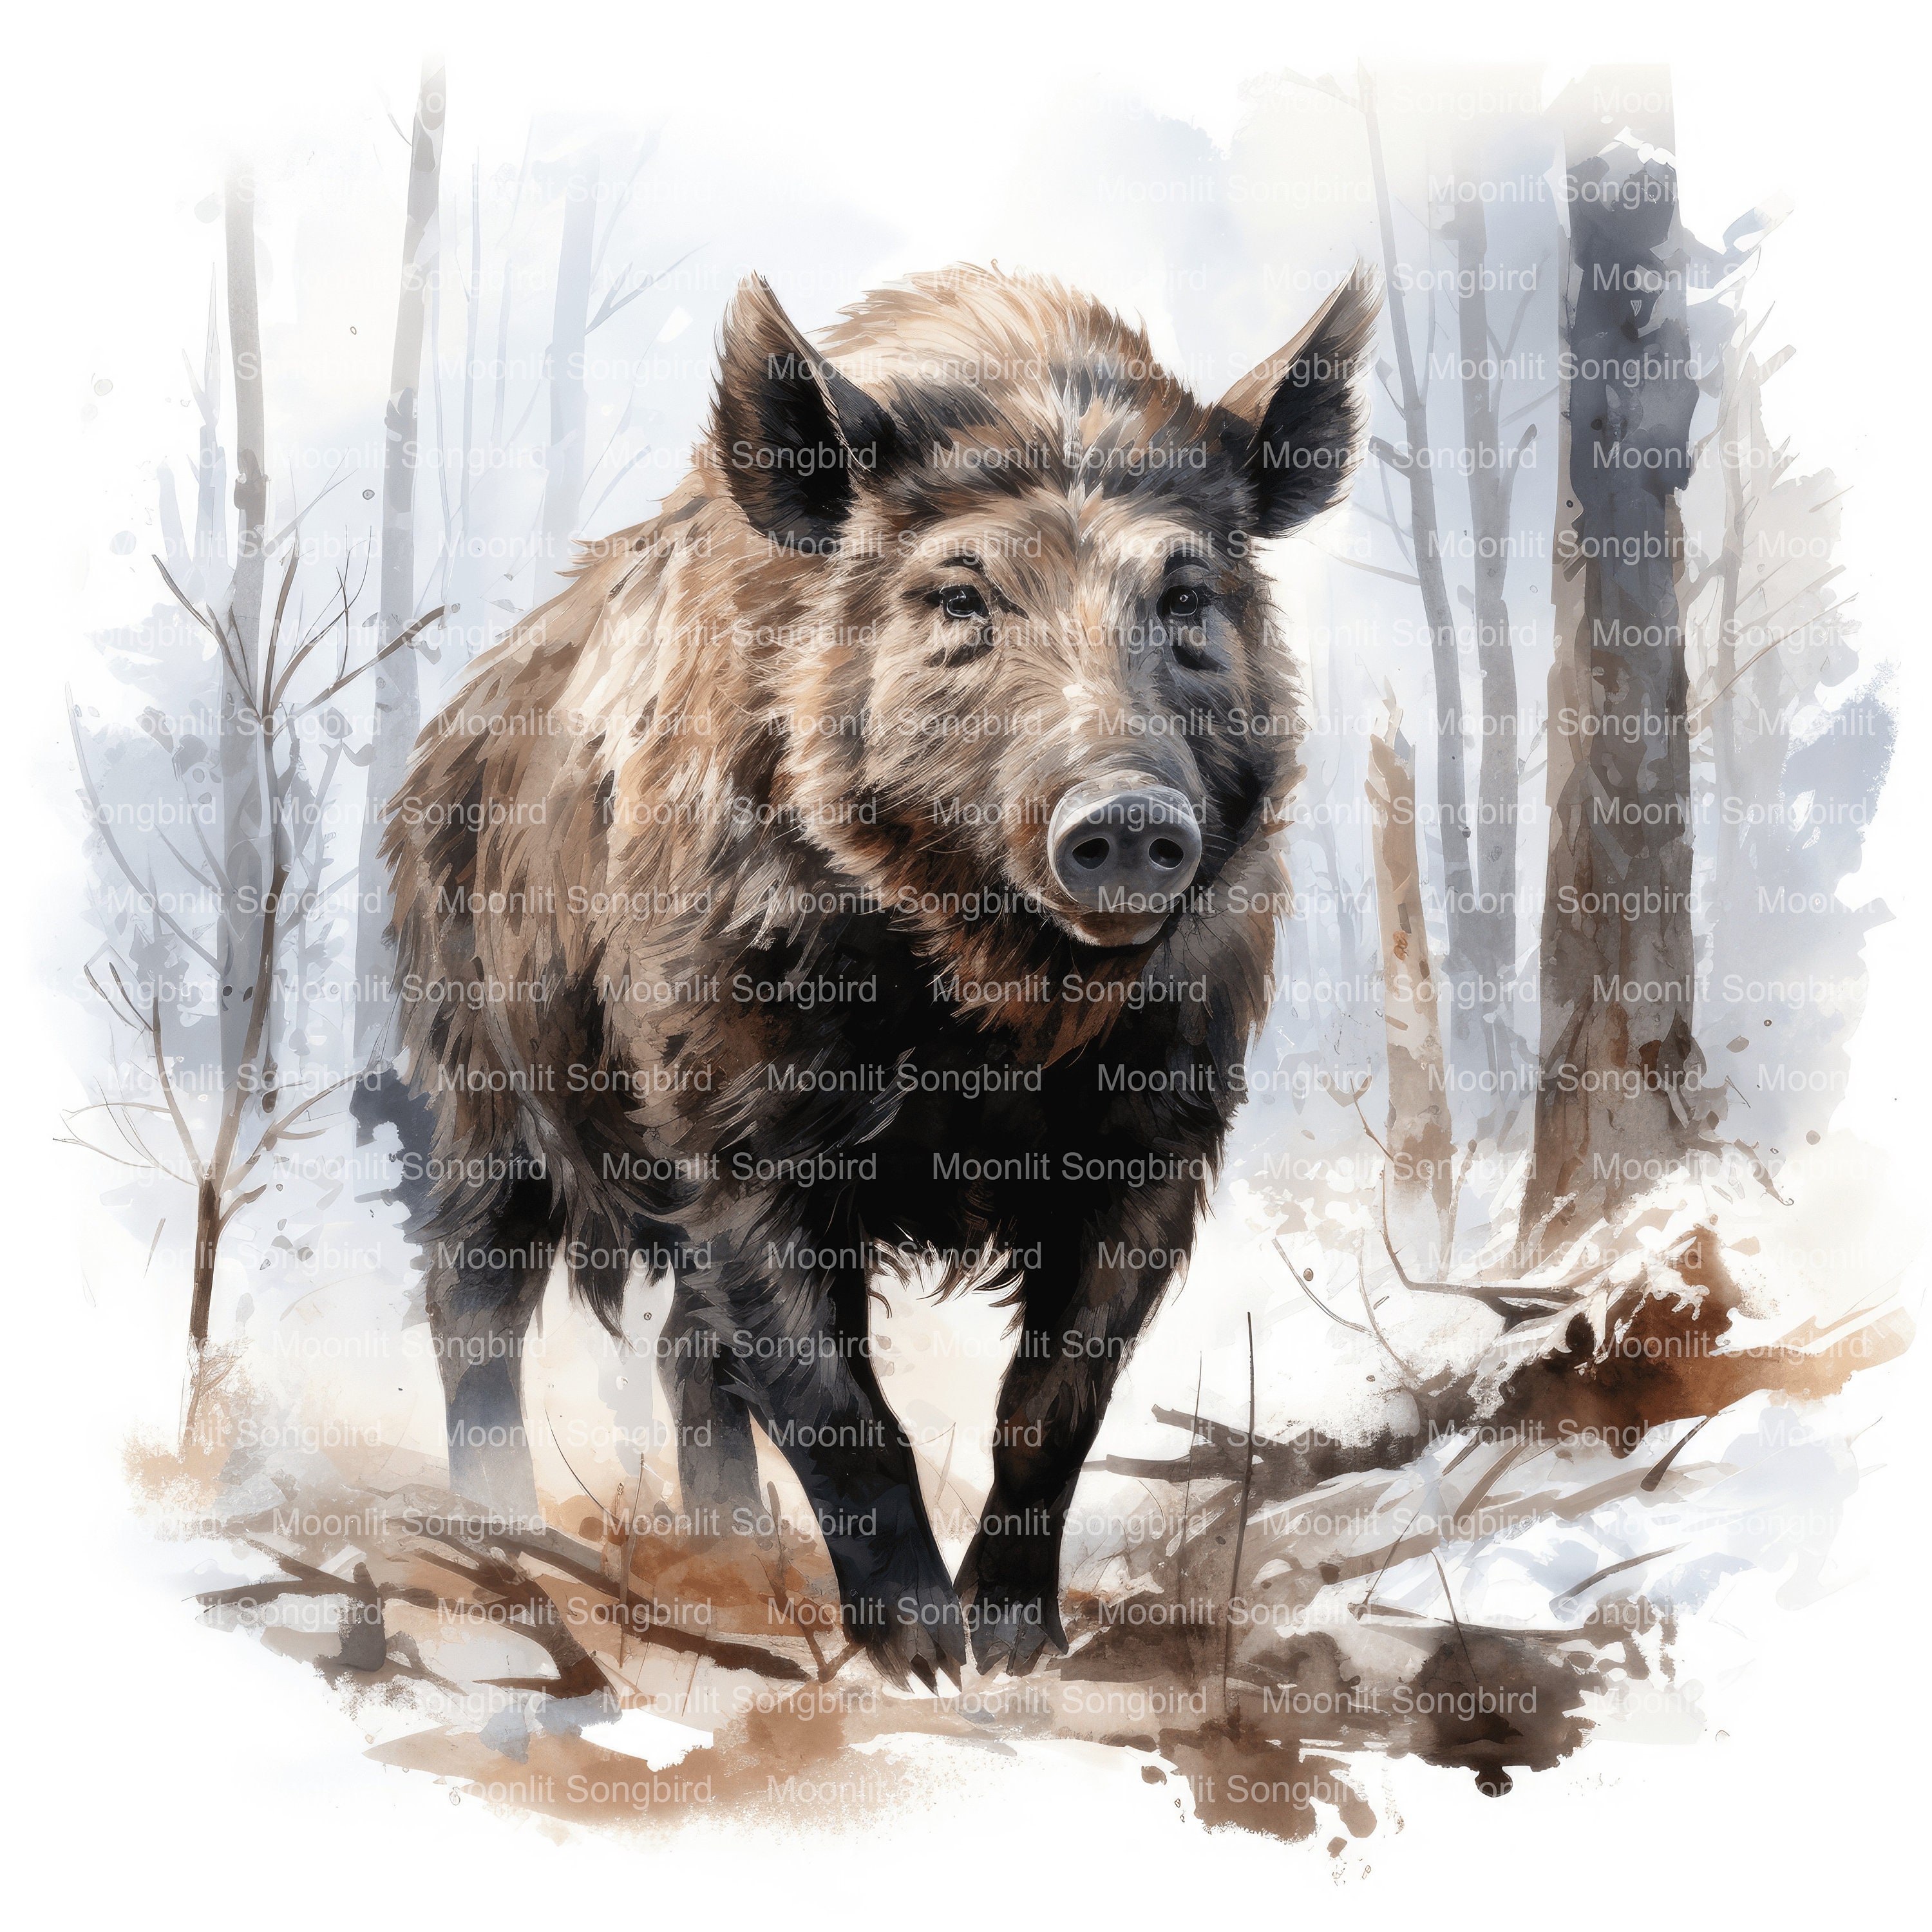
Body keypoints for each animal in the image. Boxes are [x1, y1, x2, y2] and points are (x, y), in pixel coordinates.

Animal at [375, 260, 1378, 1685]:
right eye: (960, 598)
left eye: (1185, 598)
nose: (1126, 816)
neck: (988, 1019)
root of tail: (448, 737)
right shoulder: (741, 1121)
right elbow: (838, 1407)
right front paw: (922, 1662)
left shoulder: (1160, 1138)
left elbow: (1054, 1400)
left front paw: (1017, 1653)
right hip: (478, 1067)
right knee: (476, 1286)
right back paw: (504, 1541)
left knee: (685, 1347)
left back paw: (733, 1561)